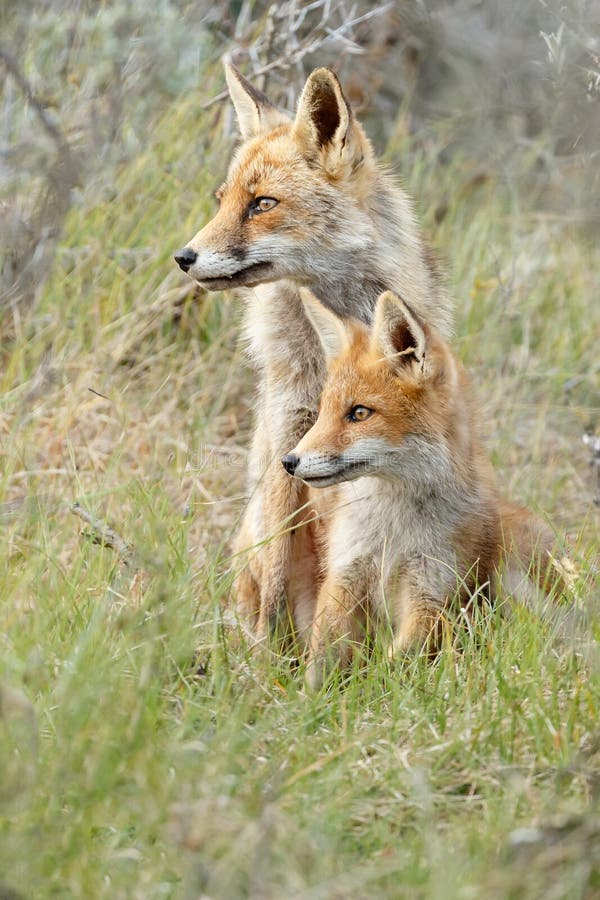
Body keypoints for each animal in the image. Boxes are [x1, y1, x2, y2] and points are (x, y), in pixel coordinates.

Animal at [174, 64, 452, 646]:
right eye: (221, 200)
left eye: (262, 204)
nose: (183, 258)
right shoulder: (287, 432)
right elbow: (280, 568)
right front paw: (268, 658)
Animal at [283, 288, 564, 689]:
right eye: (323, 411)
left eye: (359, 413)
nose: (289, 462)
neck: (391, 532)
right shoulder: (345, 574)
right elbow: (324, 655)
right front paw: (309, 697)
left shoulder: (432, 592)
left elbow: (395, 662)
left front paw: (368, 693)